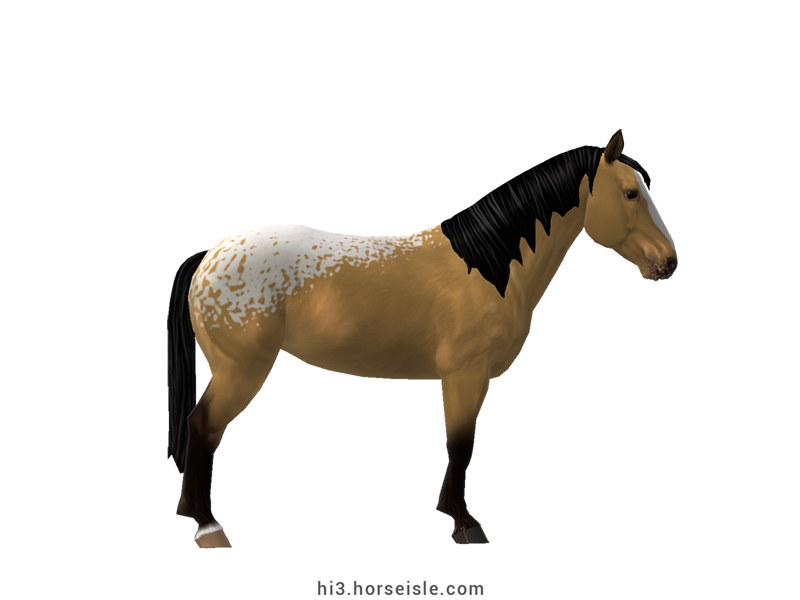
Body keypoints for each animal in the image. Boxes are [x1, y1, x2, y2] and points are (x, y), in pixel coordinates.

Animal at [169, 133, 677, 541]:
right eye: (631, 193)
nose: (668, 261)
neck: (489, 265)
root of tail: (209, 257)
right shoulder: (464, 372)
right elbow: (461, 443)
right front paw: (463, 522)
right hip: (239, 371)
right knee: (202, 425)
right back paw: (209, 524)